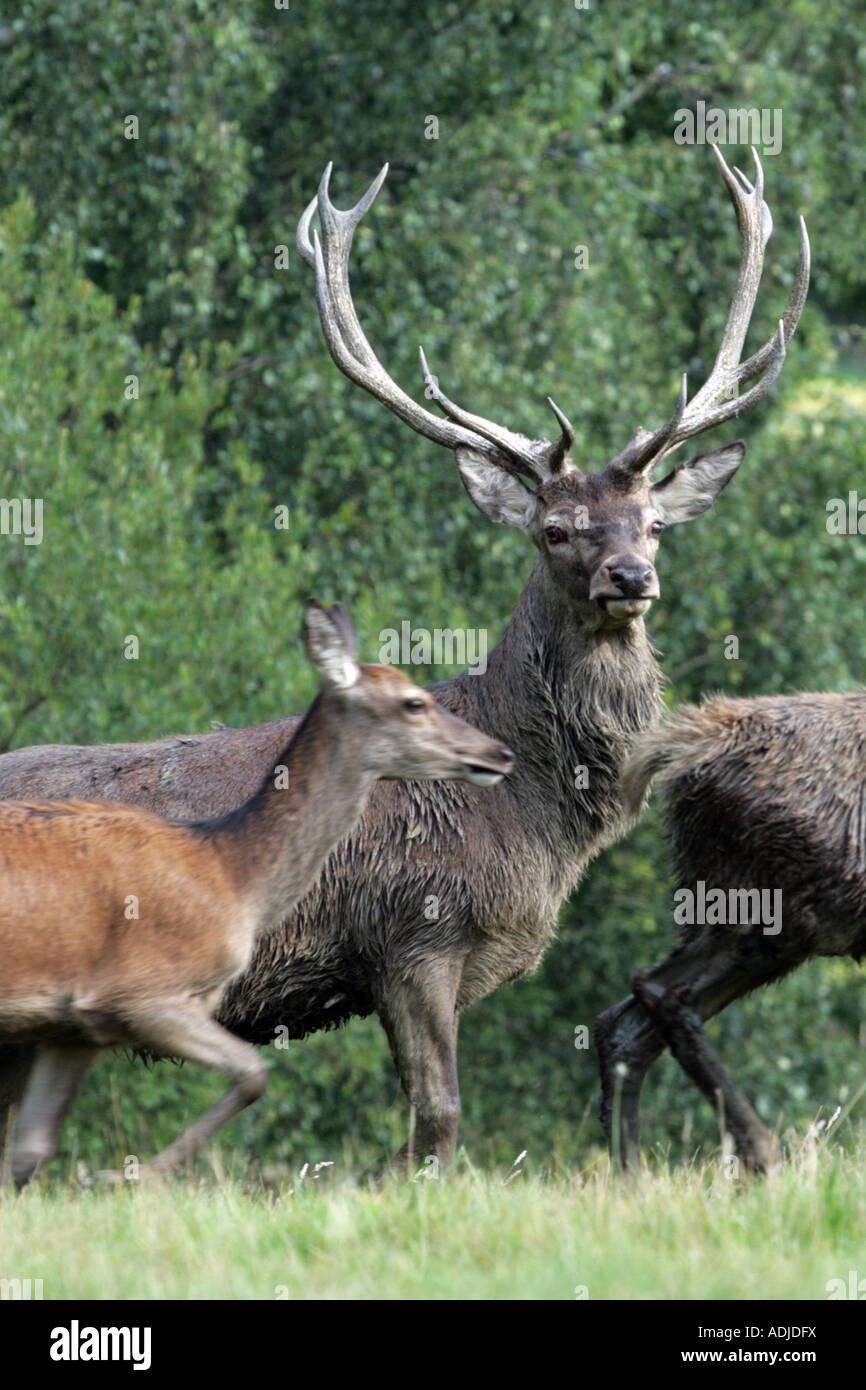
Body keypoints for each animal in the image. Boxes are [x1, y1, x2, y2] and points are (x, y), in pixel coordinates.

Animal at [0, 601, 513, 1188]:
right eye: (414, 702)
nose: (500, 753)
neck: (230, 872)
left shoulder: (77, 1025)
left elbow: (29, 1156)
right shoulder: (140, 992)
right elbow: (253, 1072)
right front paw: (127, 1176)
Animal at [595, 691, 866, 1175]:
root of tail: (679, 747)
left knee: (625, 1018)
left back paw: (631, 1179)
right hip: (773, 915)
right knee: (661, 995)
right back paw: (764, 1156)